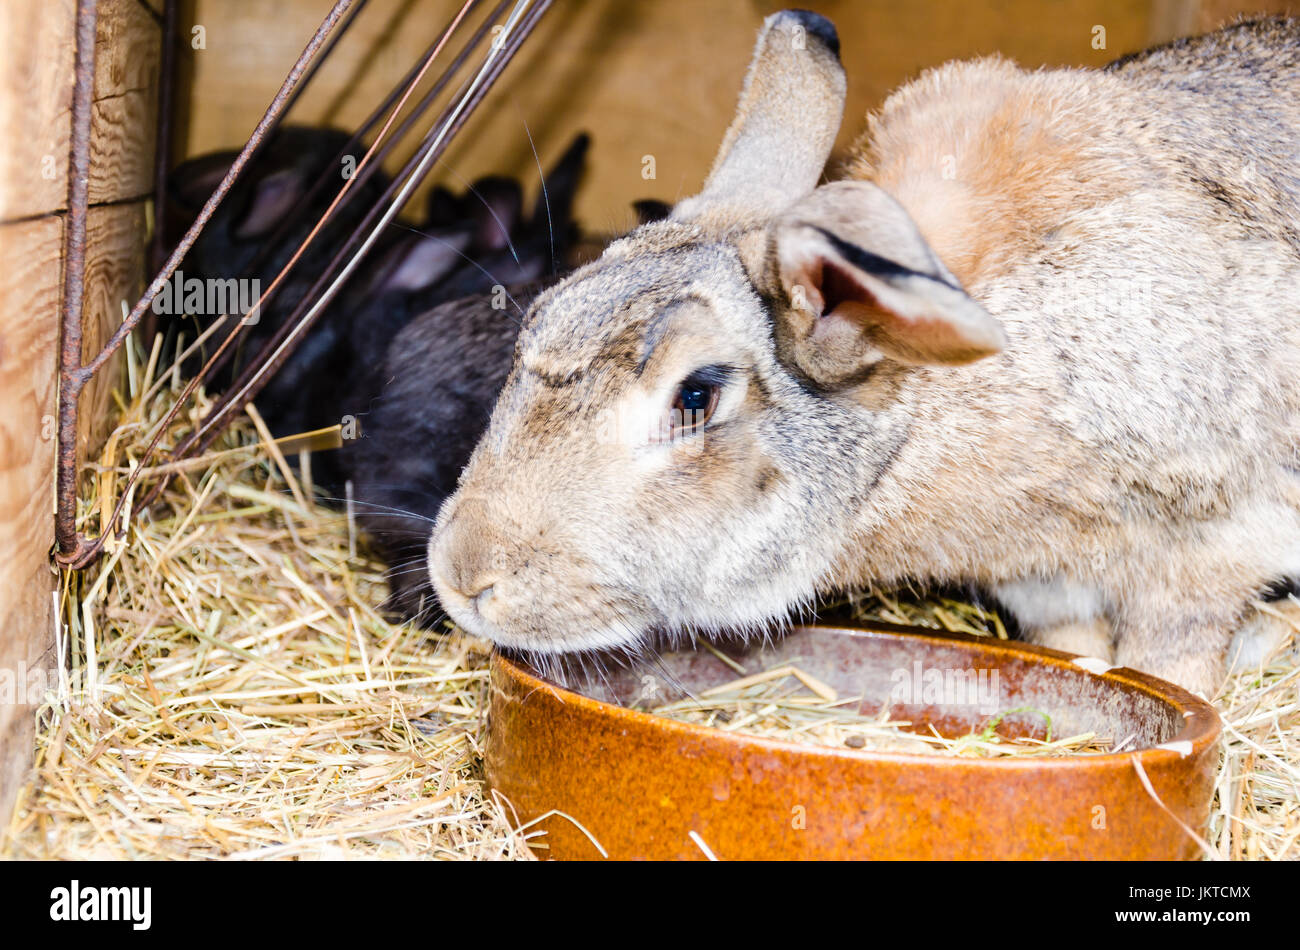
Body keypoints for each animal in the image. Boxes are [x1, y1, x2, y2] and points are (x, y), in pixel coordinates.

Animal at [425, 11, 1300, 698]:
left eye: (696, 396)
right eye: (540, 314)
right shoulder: (1042, 582)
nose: (464, 579)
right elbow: (1075, 648)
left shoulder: (1208, 548)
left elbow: (1170, 663)